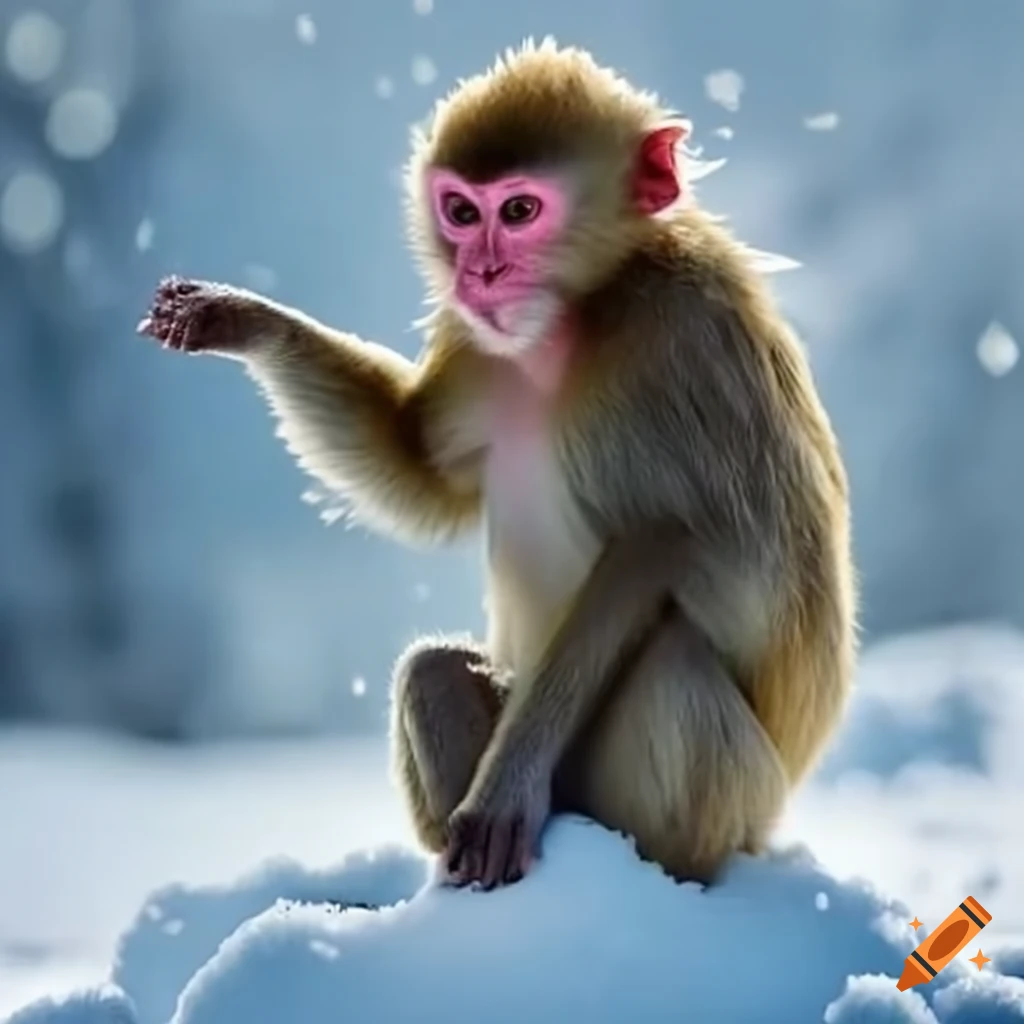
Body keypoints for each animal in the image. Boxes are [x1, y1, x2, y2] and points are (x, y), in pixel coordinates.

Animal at [137, 40, 856, 892]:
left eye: (518, 212)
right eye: (461, 210)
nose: (477, 274)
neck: (568, 326)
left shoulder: (685, 342)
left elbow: (685, 548)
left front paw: (506, 788)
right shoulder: (473, 339)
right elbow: (420, 468)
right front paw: (239, 317)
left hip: (746, 802)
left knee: (671, 667)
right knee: (433, 669)